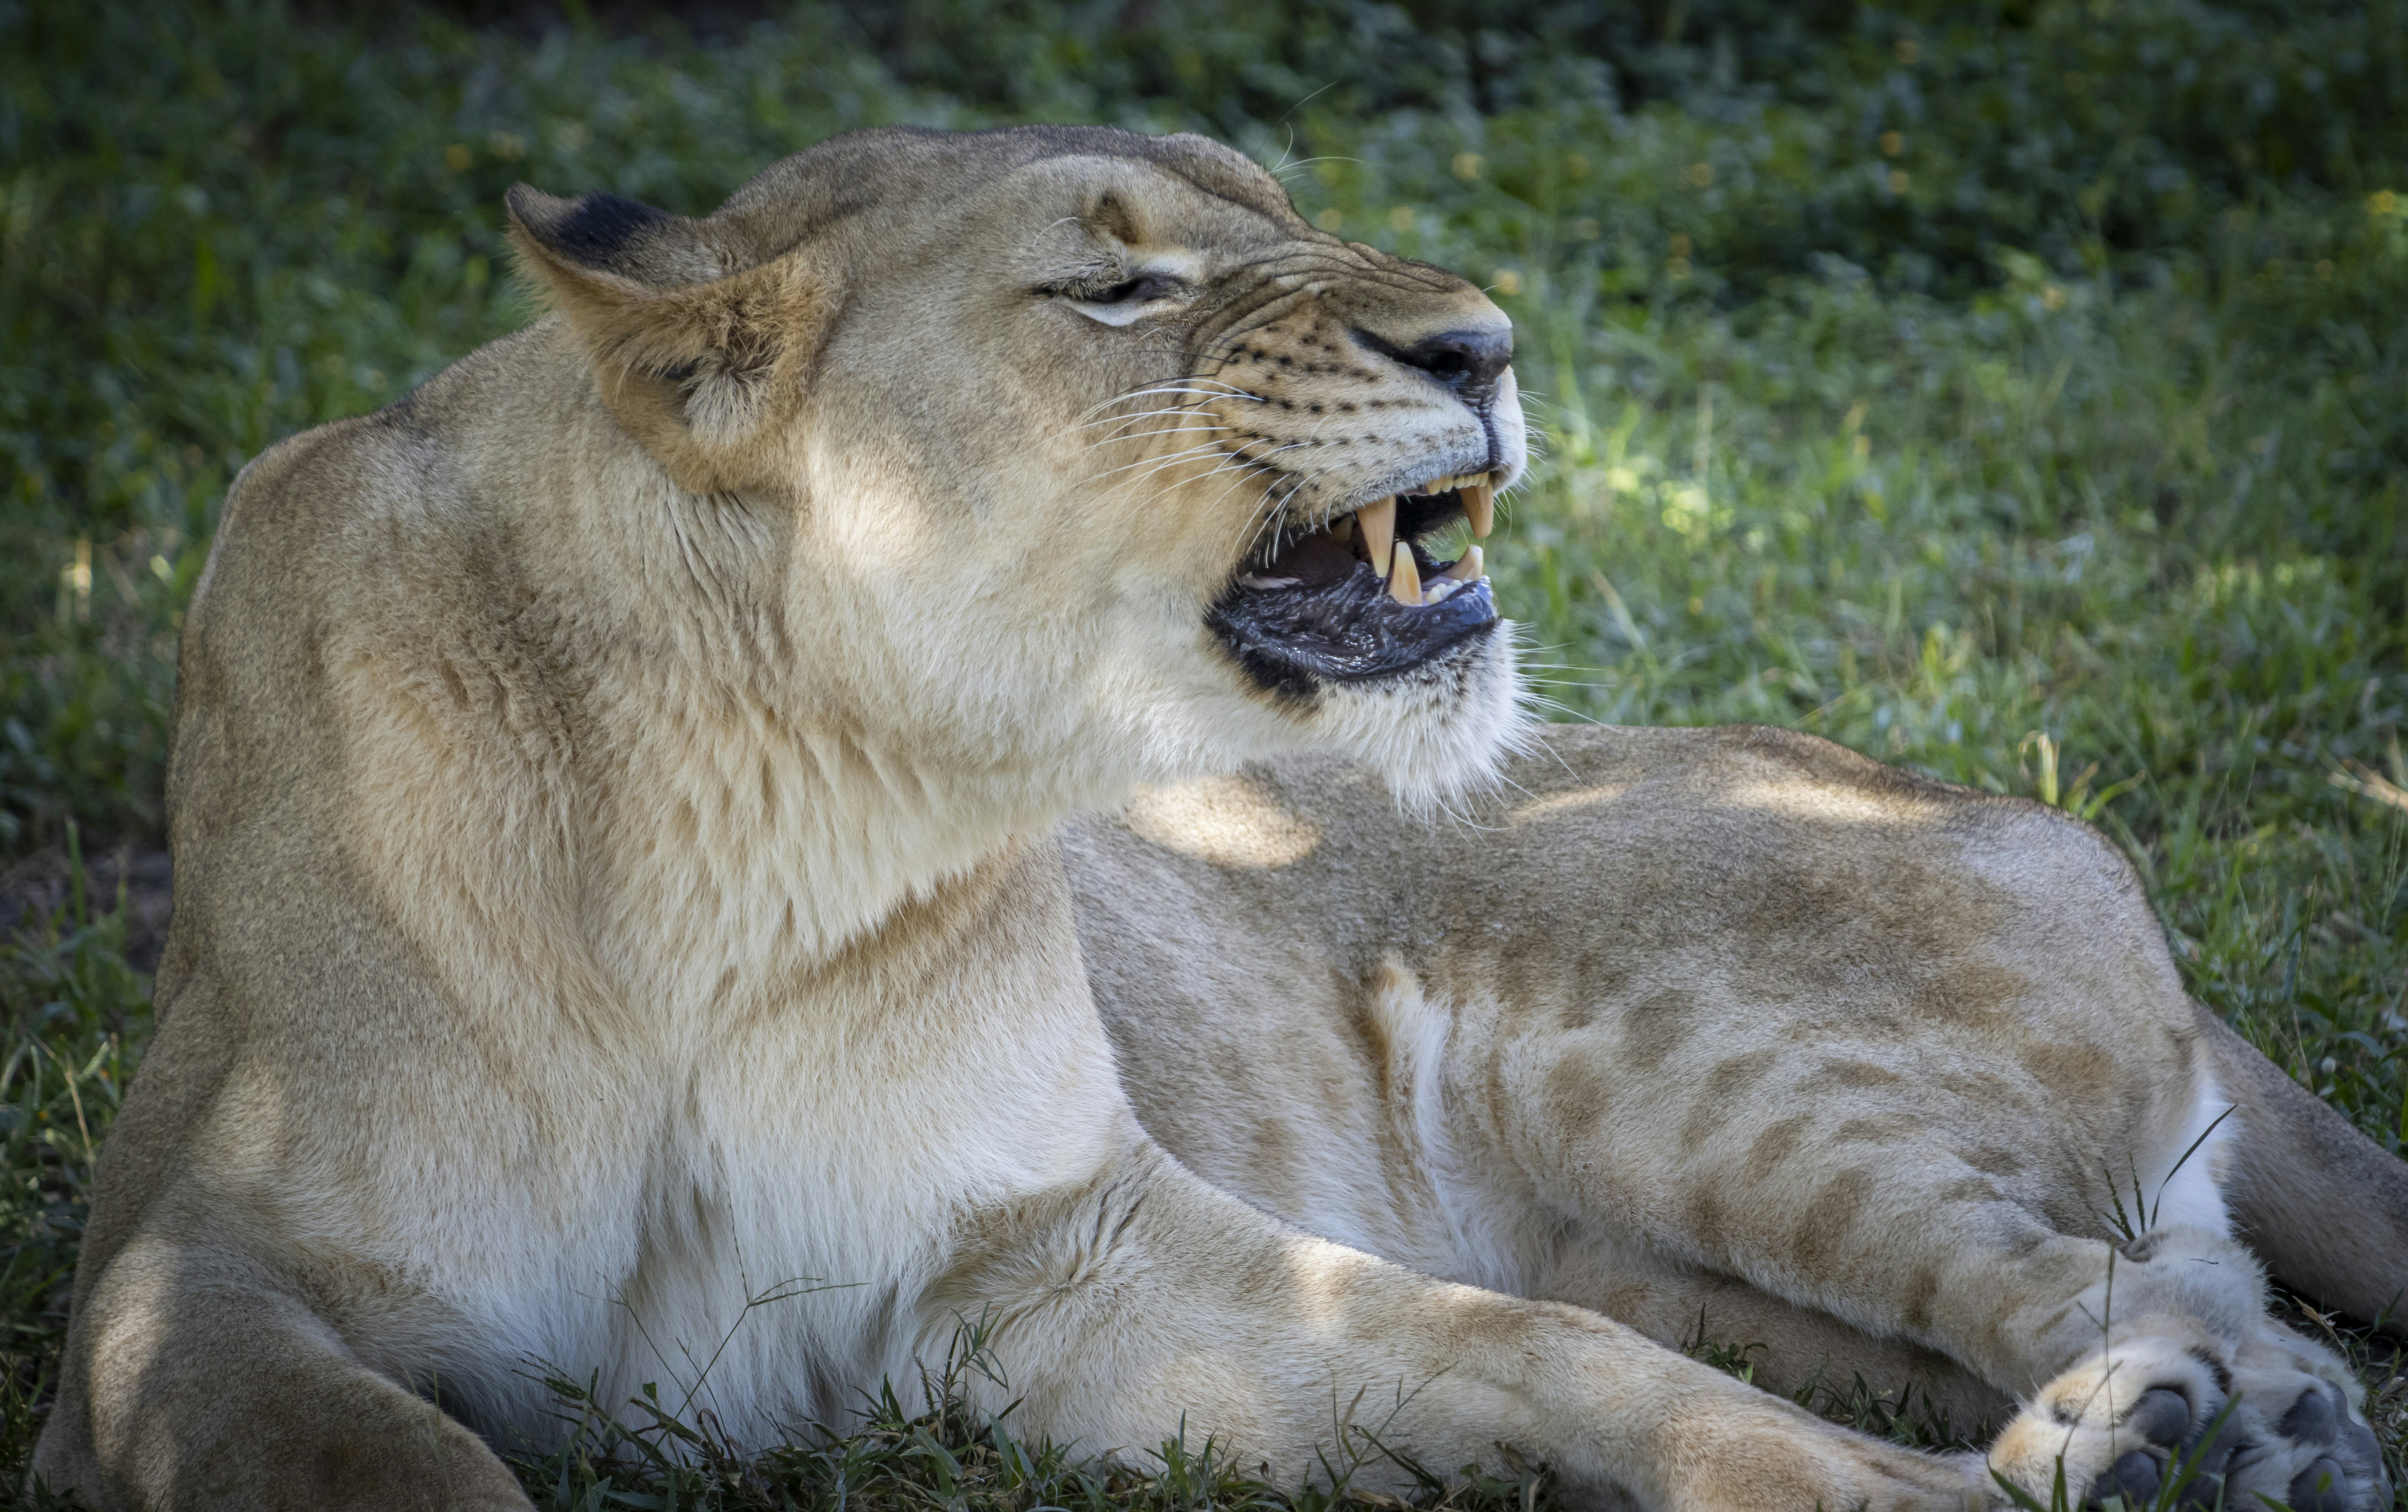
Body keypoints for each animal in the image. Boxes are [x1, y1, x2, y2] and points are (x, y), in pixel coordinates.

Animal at [29, 125, 2404, 1512]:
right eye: (1119, 287)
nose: (1490, 341)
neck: (779, 812)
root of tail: (2039, 819)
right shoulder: (182, 1286)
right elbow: (388, 1454)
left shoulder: (1046, 1255)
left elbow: (1559, 1358)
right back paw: (2204, 1431)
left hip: (1671, 1076)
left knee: (2115, 1265)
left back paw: (2197, 1431)